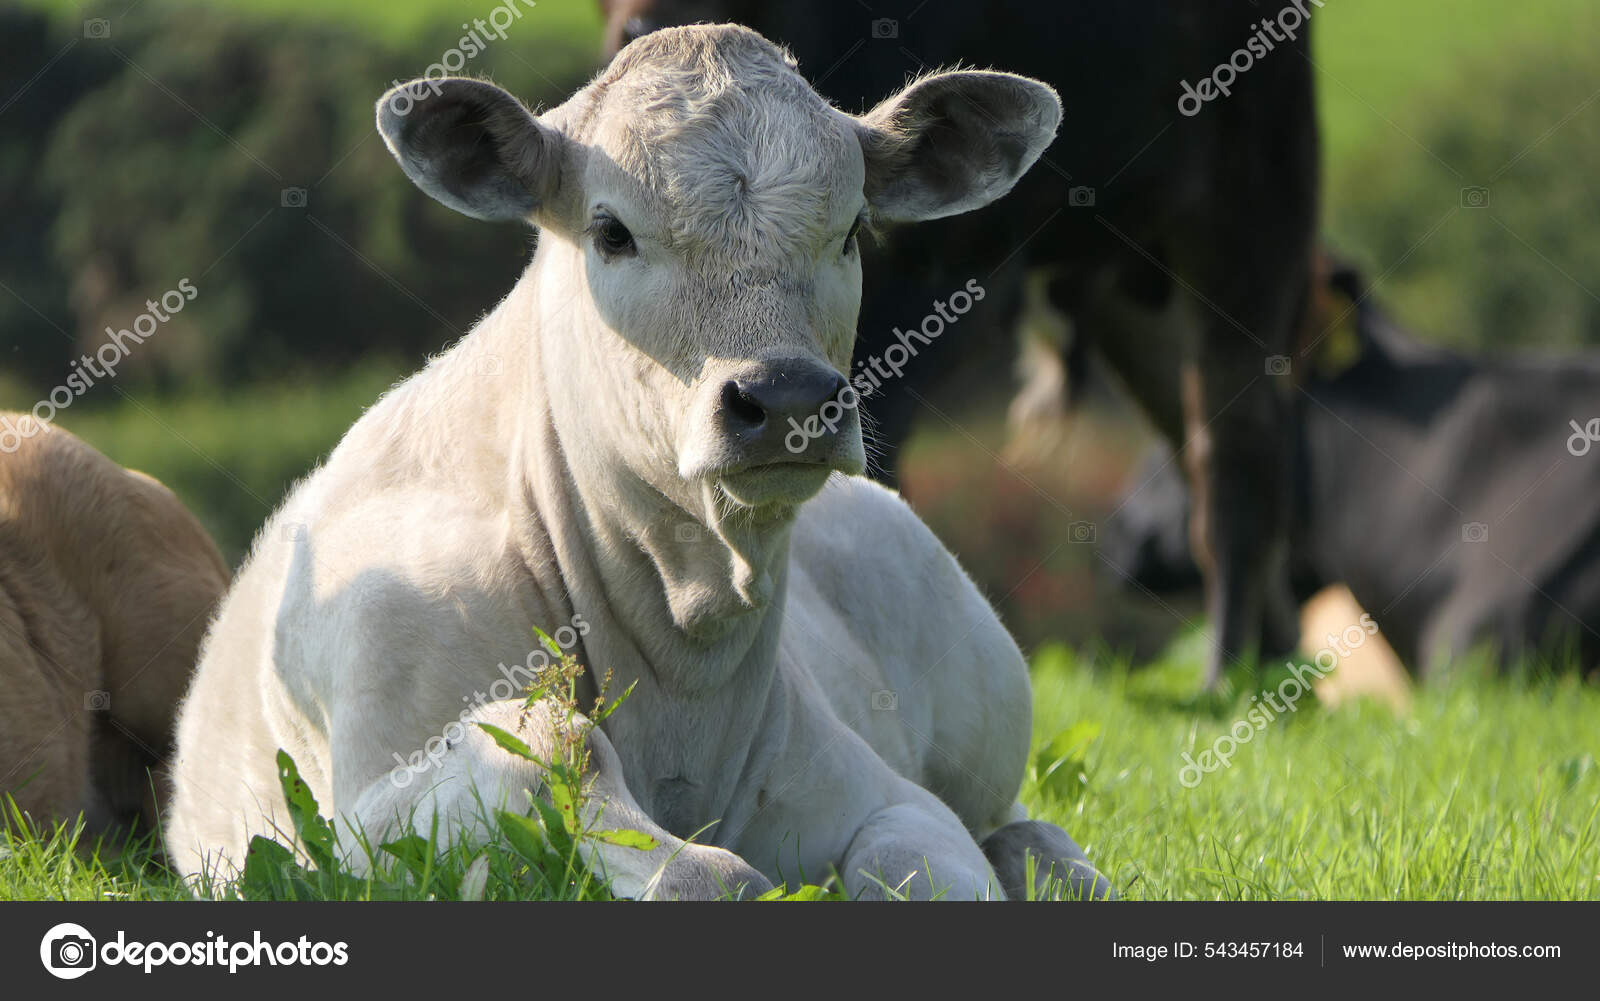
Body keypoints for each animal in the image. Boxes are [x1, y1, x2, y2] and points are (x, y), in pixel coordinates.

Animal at [165, 25, 1114, 900]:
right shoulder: (358, 821)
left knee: (1017, 822)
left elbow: (911, 863)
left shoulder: (891, 796)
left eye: (851, 231)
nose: (788, 396)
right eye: (612, 232)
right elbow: (583, 771)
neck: (686, 636)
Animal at [602, 0, 1322, 689]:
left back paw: (1225, 678)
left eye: (852, 228)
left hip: (1245, 222)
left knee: (1237, 456)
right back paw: (1278, 662)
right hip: (1141, 306)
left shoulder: (942, 277)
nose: (638, 25)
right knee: (1194, 442)